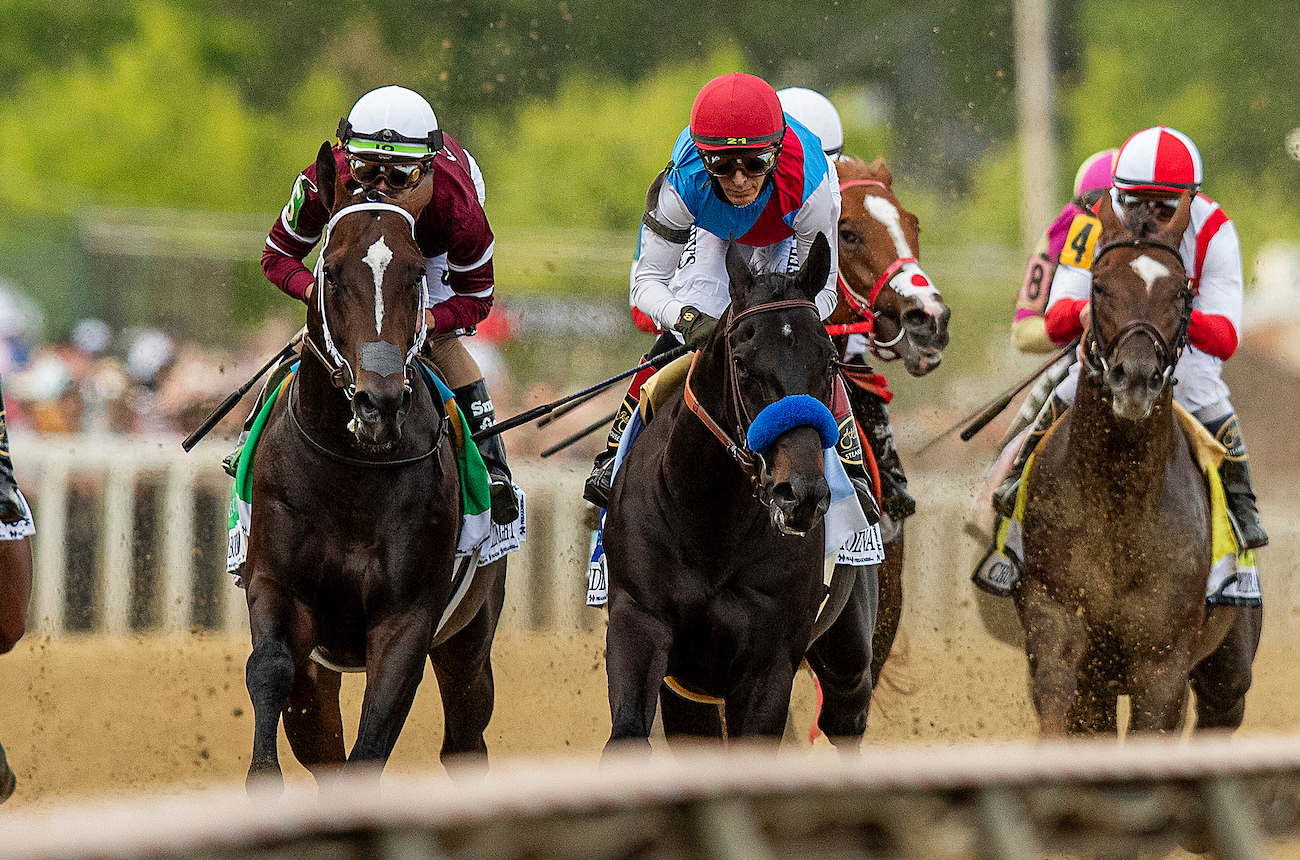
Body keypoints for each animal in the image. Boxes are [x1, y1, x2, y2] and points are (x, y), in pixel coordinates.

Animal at [242, 143, 506, 792]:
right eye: (332, 271)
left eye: (413, 276)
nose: (379, 404)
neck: (350, 477)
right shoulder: (278, 588)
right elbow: (270, 670)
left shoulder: (408, 618)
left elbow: (377, 730)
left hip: (470, 638)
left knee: (465, 740)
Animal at [602, 234, 861, 747]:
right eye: (742, 364)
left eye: (829, 362)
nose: (800, 494)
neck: (711, 523)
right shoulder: (639, 620)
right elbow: (627, 733)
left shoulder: (769, 663)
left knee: (846, 710)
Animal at [1015, 192, 1253, 735]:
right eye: (1100, 286)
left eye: (1182, 294)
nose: (1137, 378)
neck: (1118, 505)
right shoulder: (1059, 627)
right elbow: (1057, 707)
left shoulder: (1162, 662)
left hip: (1229, 664)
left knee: (1223, 700)